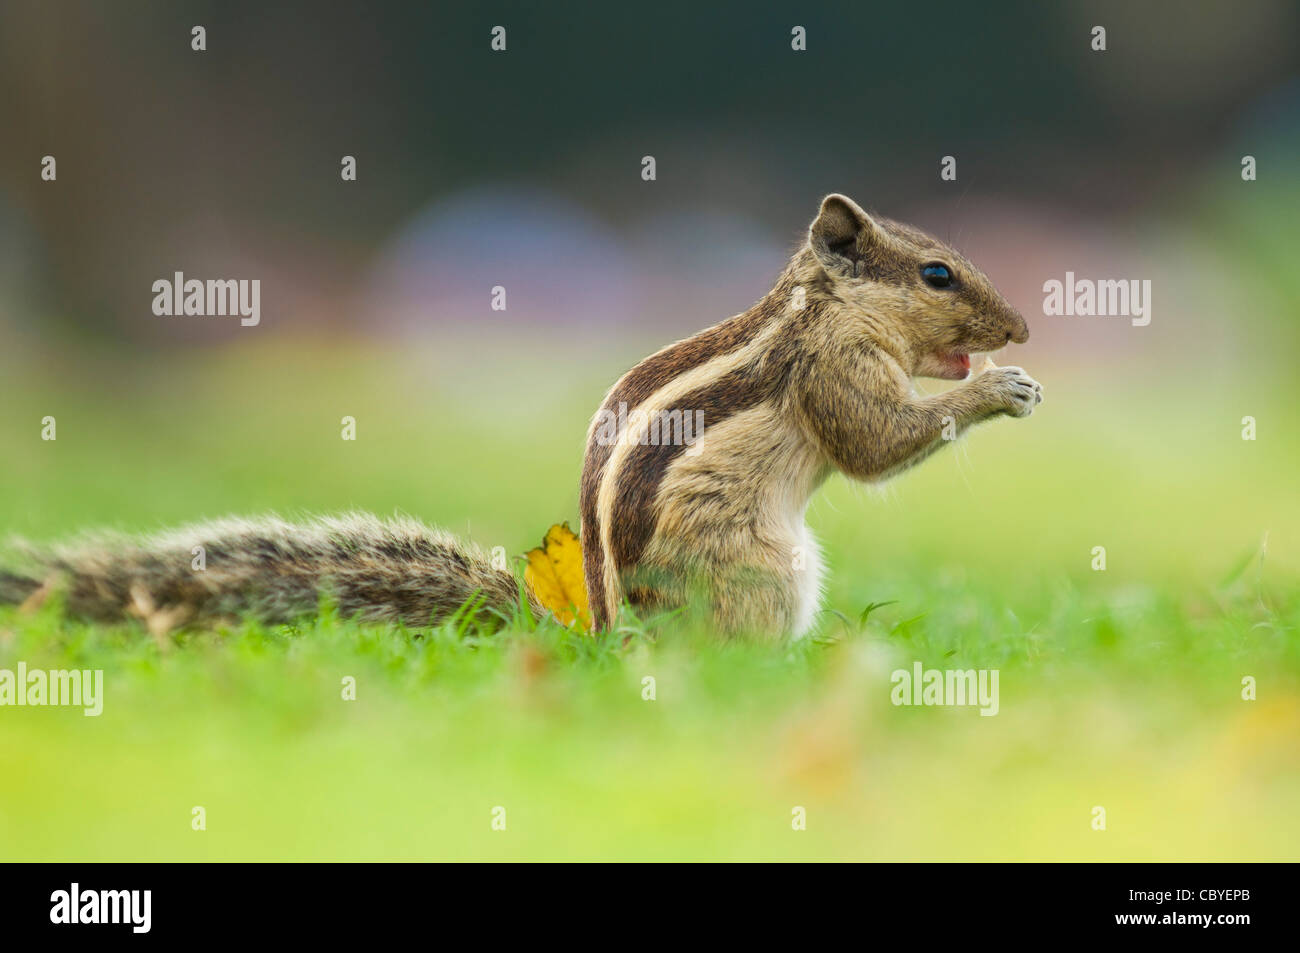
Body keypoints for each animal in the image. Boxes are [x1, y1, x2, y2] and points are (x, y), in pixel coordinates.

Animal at [0, 194, 1040, 639]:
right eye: (937, 273)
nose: (1022, 328)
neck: (820, 304)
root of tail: (604, 642)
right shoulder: (833, 367)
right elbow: (872, 442)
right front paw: (997, 390)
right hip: (762, 570)